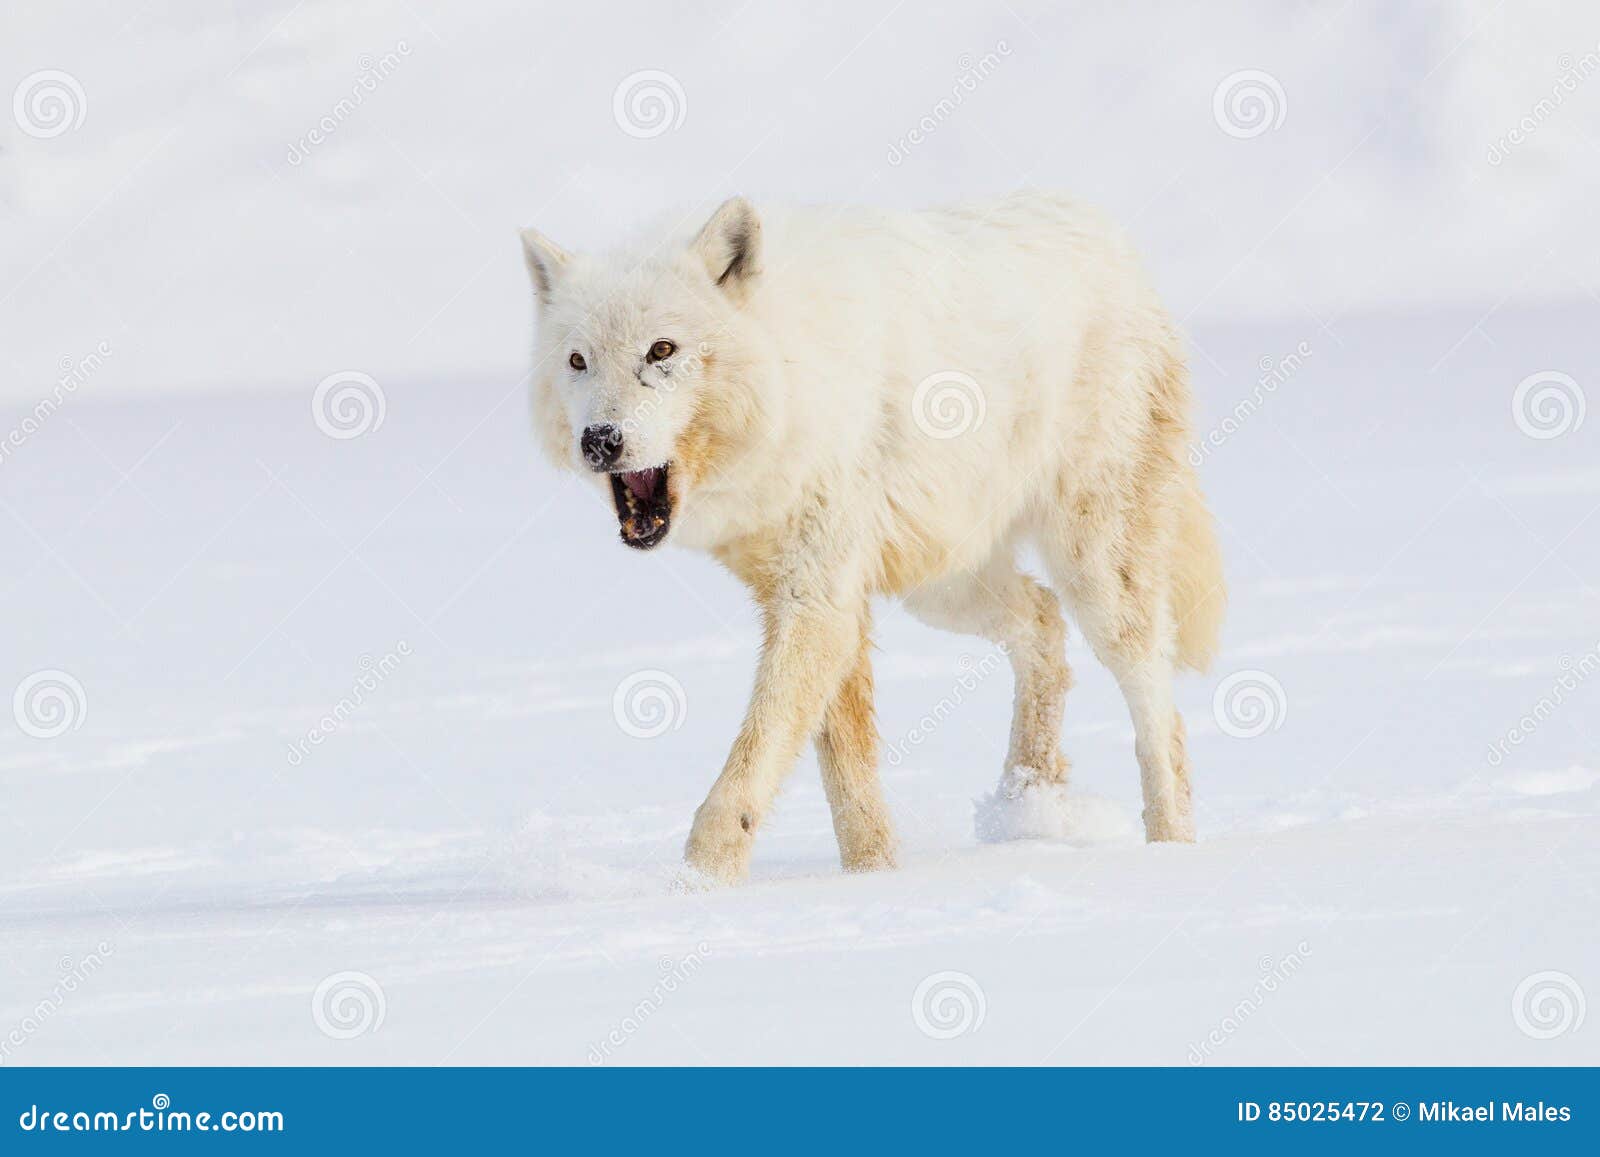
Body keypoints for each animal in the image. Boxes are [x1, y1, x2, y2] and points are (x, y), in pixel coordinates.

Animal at [521, 191, 1225, 886]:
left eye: (661, 351)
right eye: (578, 362)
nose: (600, 441)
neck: (790, 373)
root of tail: (1109, 237)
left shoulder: (816, 600)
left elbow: (753, 764)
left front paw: (700, 884)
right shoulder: (822, 599)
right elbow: (847, 774)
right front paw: (873, 875)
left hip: (1096, 574)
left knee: (1160, 711)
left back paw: (1169, 850)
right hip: (942, 586)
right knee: (1044, 622)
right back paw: (1029, 799)